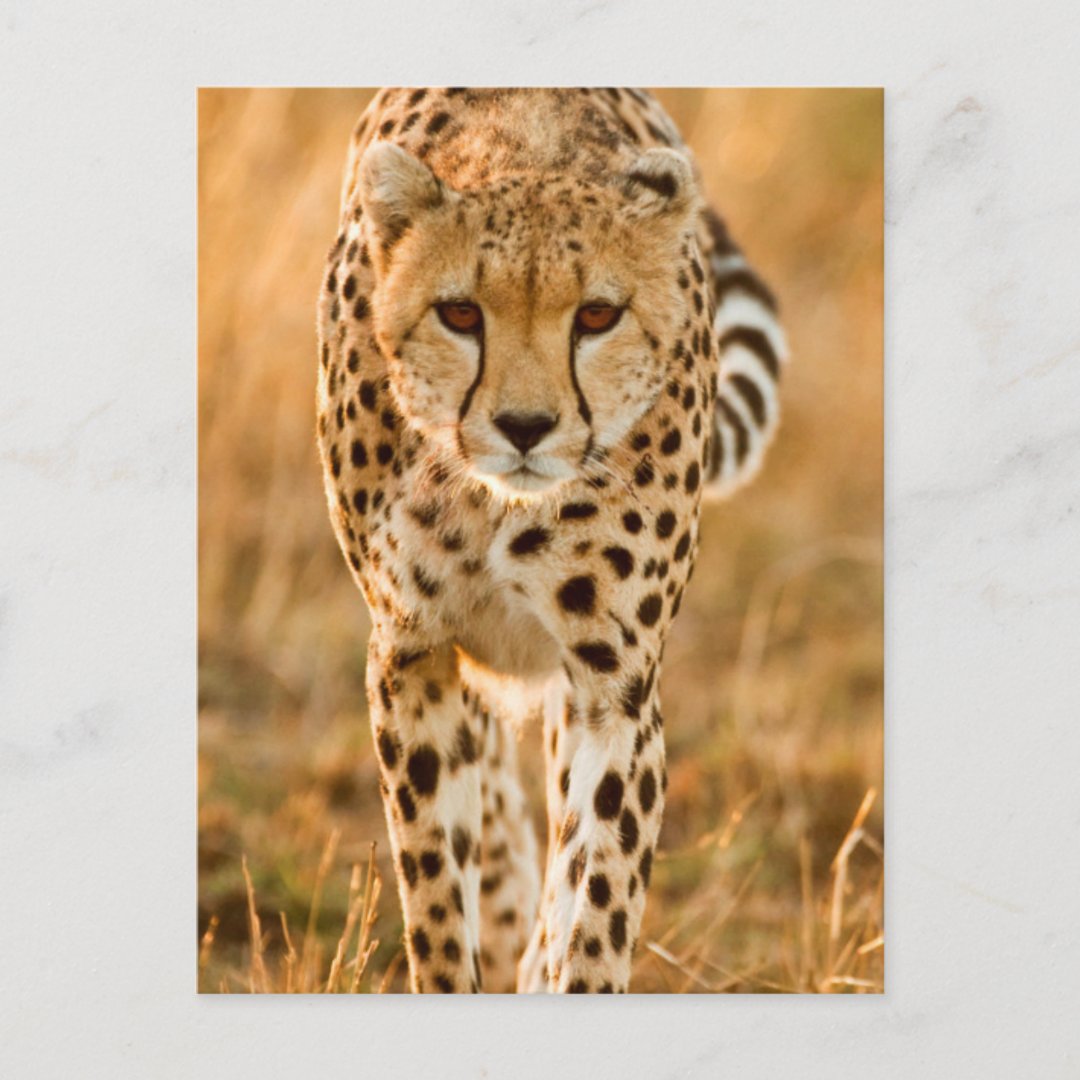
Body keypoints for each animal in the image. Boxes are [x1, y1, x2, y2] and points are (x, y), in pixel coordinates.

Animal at [316, 88, 787, 993]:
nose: (526, 427)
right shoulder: (410, 651)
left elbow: (597, 893)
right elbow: (435, 887)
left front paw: (569, 965)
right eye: (460, 313)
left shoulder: (615, 684)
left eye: (597, 315)